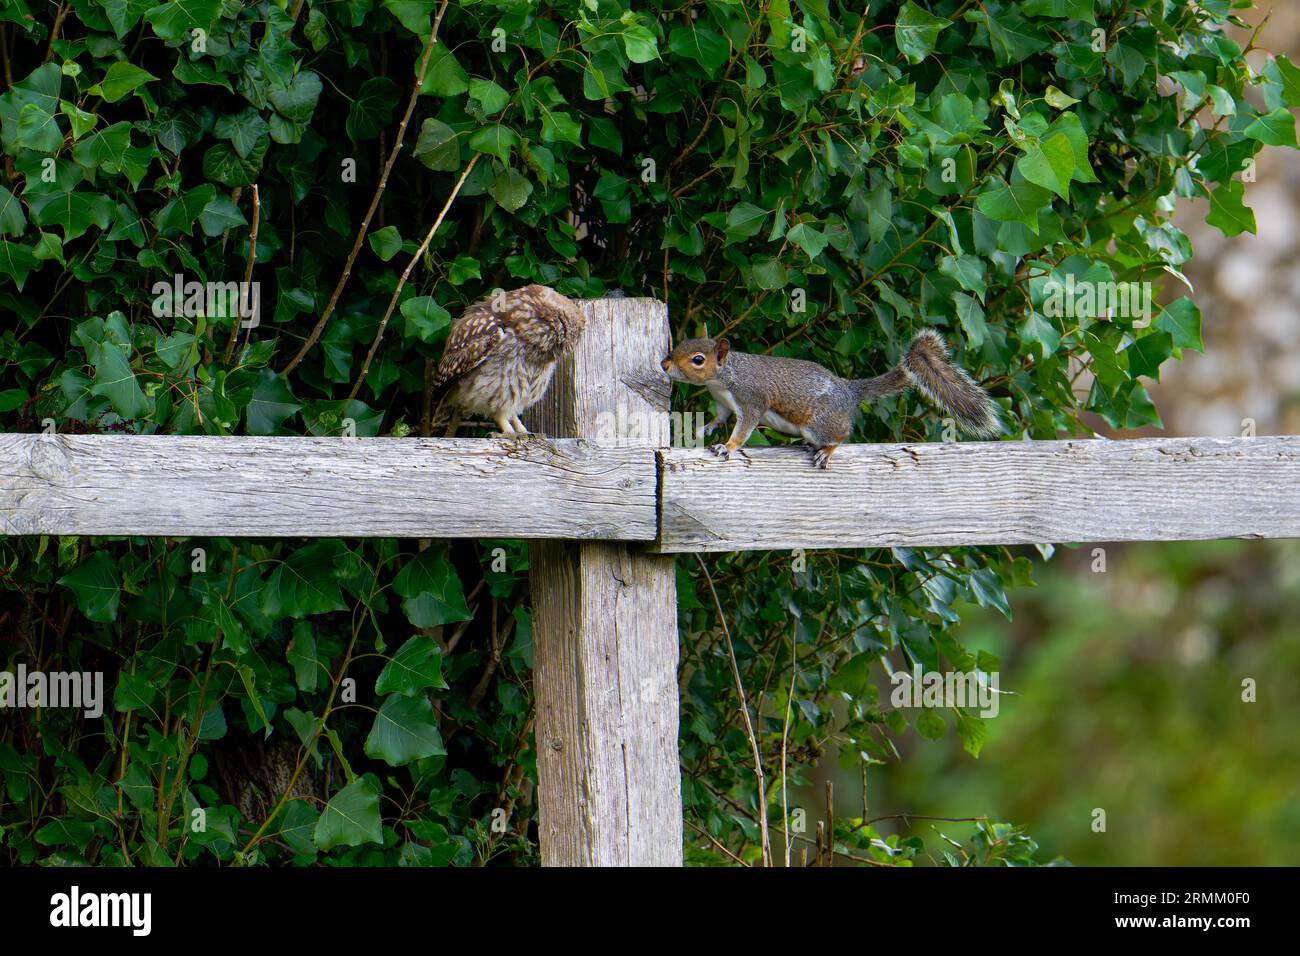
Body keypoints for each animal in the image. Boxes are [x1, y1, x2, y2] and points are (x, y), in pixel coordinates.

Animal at [660, 329, 1002, 469]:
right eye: (684, 343)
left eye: (698, 360)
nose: (664, 364)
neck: (724, 377)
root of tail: (848, 392)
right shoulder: (721, 401)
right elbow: (719, 417)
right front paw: (705, 429)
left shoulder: (752, 400)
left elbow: (744, 428)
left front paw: (728, 446)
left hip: (820, 422)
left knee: (841, 434)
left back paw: (827, 450)